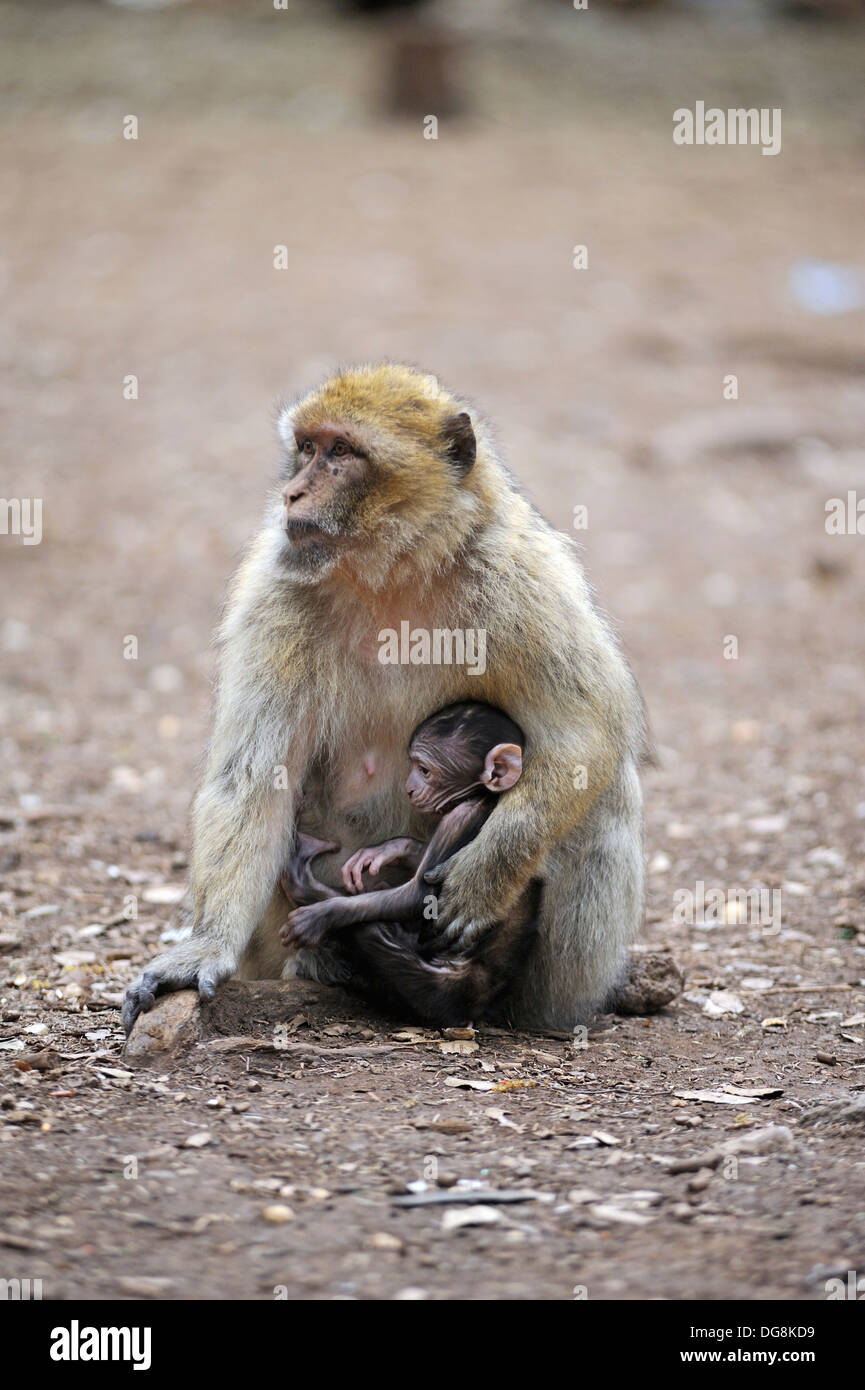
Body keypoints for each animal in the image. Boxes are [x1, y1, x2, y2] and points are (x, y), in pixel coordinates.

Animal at [275, 702, 540, 1026]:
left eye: (424, 769)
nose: (409, 787)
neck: (483, 796)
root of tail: (475, 1001)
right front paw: (389, 850)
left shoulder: (460, 818)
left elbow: (419, 898)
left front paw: (320, 915)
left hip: (431, 993)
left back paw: (304, 886)